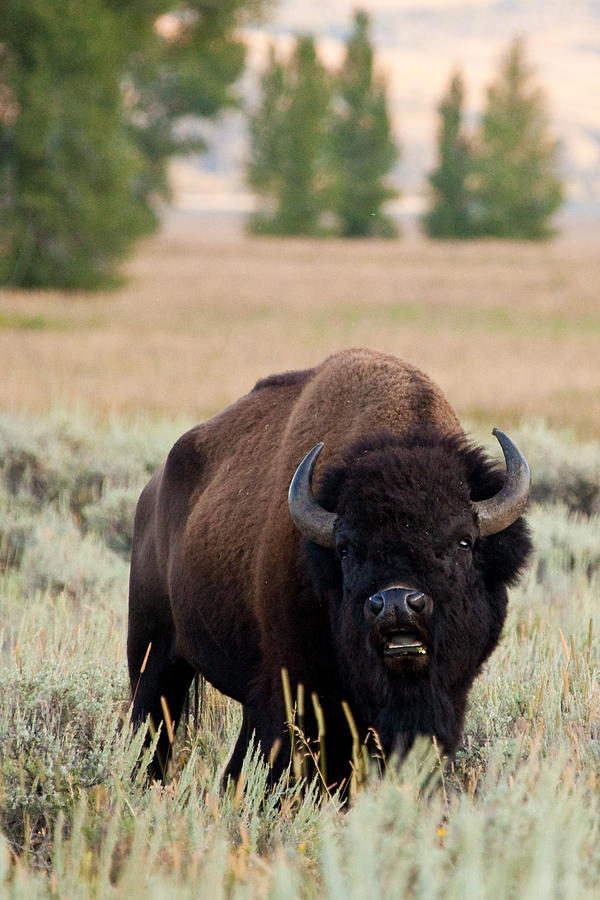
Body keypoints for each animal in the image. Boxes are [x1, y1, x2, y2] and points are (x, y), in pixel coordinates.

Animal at [128, 348, 532, 788]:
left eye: (464, 542)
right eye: (345, 549)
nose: (396, 605)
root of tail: (151, 494)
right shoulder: (289, 693)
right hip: (153, 657)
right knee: (149, 735)